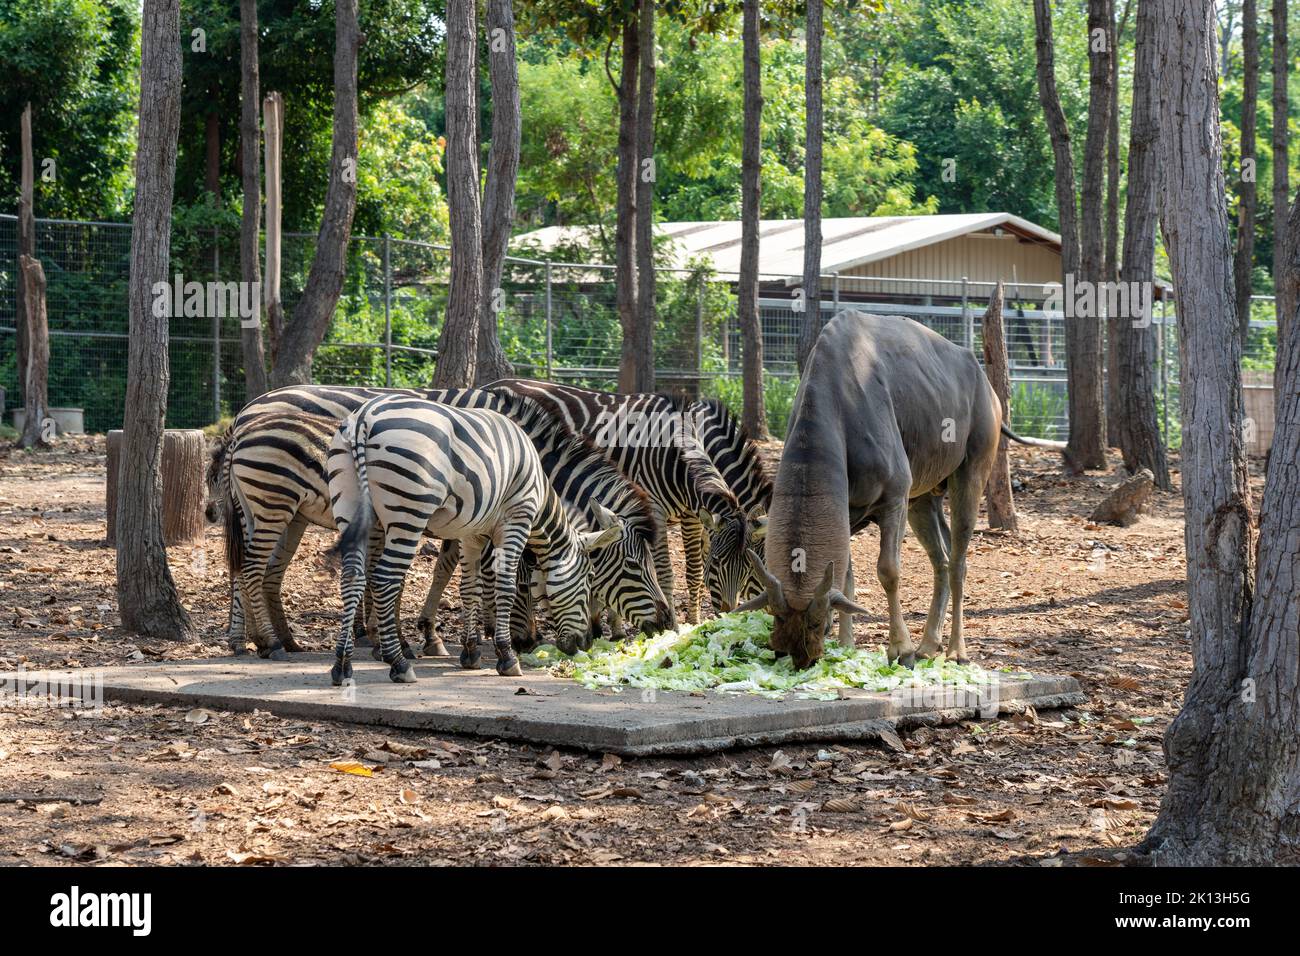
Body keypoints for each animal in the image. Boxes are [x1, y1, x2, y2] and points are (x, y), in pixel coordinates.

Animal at [329, 395, 621, 683]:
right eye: (590, 578)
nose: (586, 644)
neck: (539, 494)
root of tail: (364, 416)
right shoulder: (516, 521)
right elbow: (505, 587)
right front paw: (507, 657)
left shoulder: (471, 534)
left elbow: (470, 587)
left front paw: (470, 653)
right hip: (409, 513)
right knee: (384, 580)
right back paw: (398, 663)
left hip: (350, 505)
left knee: (353, 577)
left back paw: (342, 665)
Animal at [738, 309, 1002, 670]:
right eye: (777, 617)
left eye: (817, 623)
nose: (800, 656)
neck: (840, 399)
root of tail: (986, 384)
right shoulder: (848, 513)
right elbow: (847, 578)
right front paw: (848, 645)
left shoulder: (894, 500)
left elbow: (888, 571)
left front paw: (901, 650)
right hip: (922, 500)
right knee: (942, 560)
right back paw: (928, 645)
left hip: (970, 475)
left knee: (959, 561)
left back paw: (955, 651)